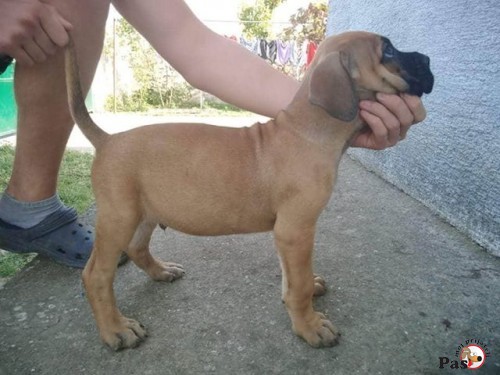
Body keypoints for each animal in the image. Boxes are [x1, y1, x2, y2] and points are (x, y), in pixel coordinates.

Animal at [65, 30, 434, 352]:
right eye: (388, 51)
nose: (429, 58)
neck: (307, 129)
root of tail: (107, 140)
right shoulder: (296, 229)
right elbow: (298, 283)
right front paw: (310, 326)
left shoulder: (288, 233)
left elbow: (292, 276)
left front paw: (301, 296)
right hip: (119, 217)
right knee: (96, 275)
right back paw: (116, 328)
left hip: (144, 212)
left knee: (137, 248)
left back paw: (161, 272)